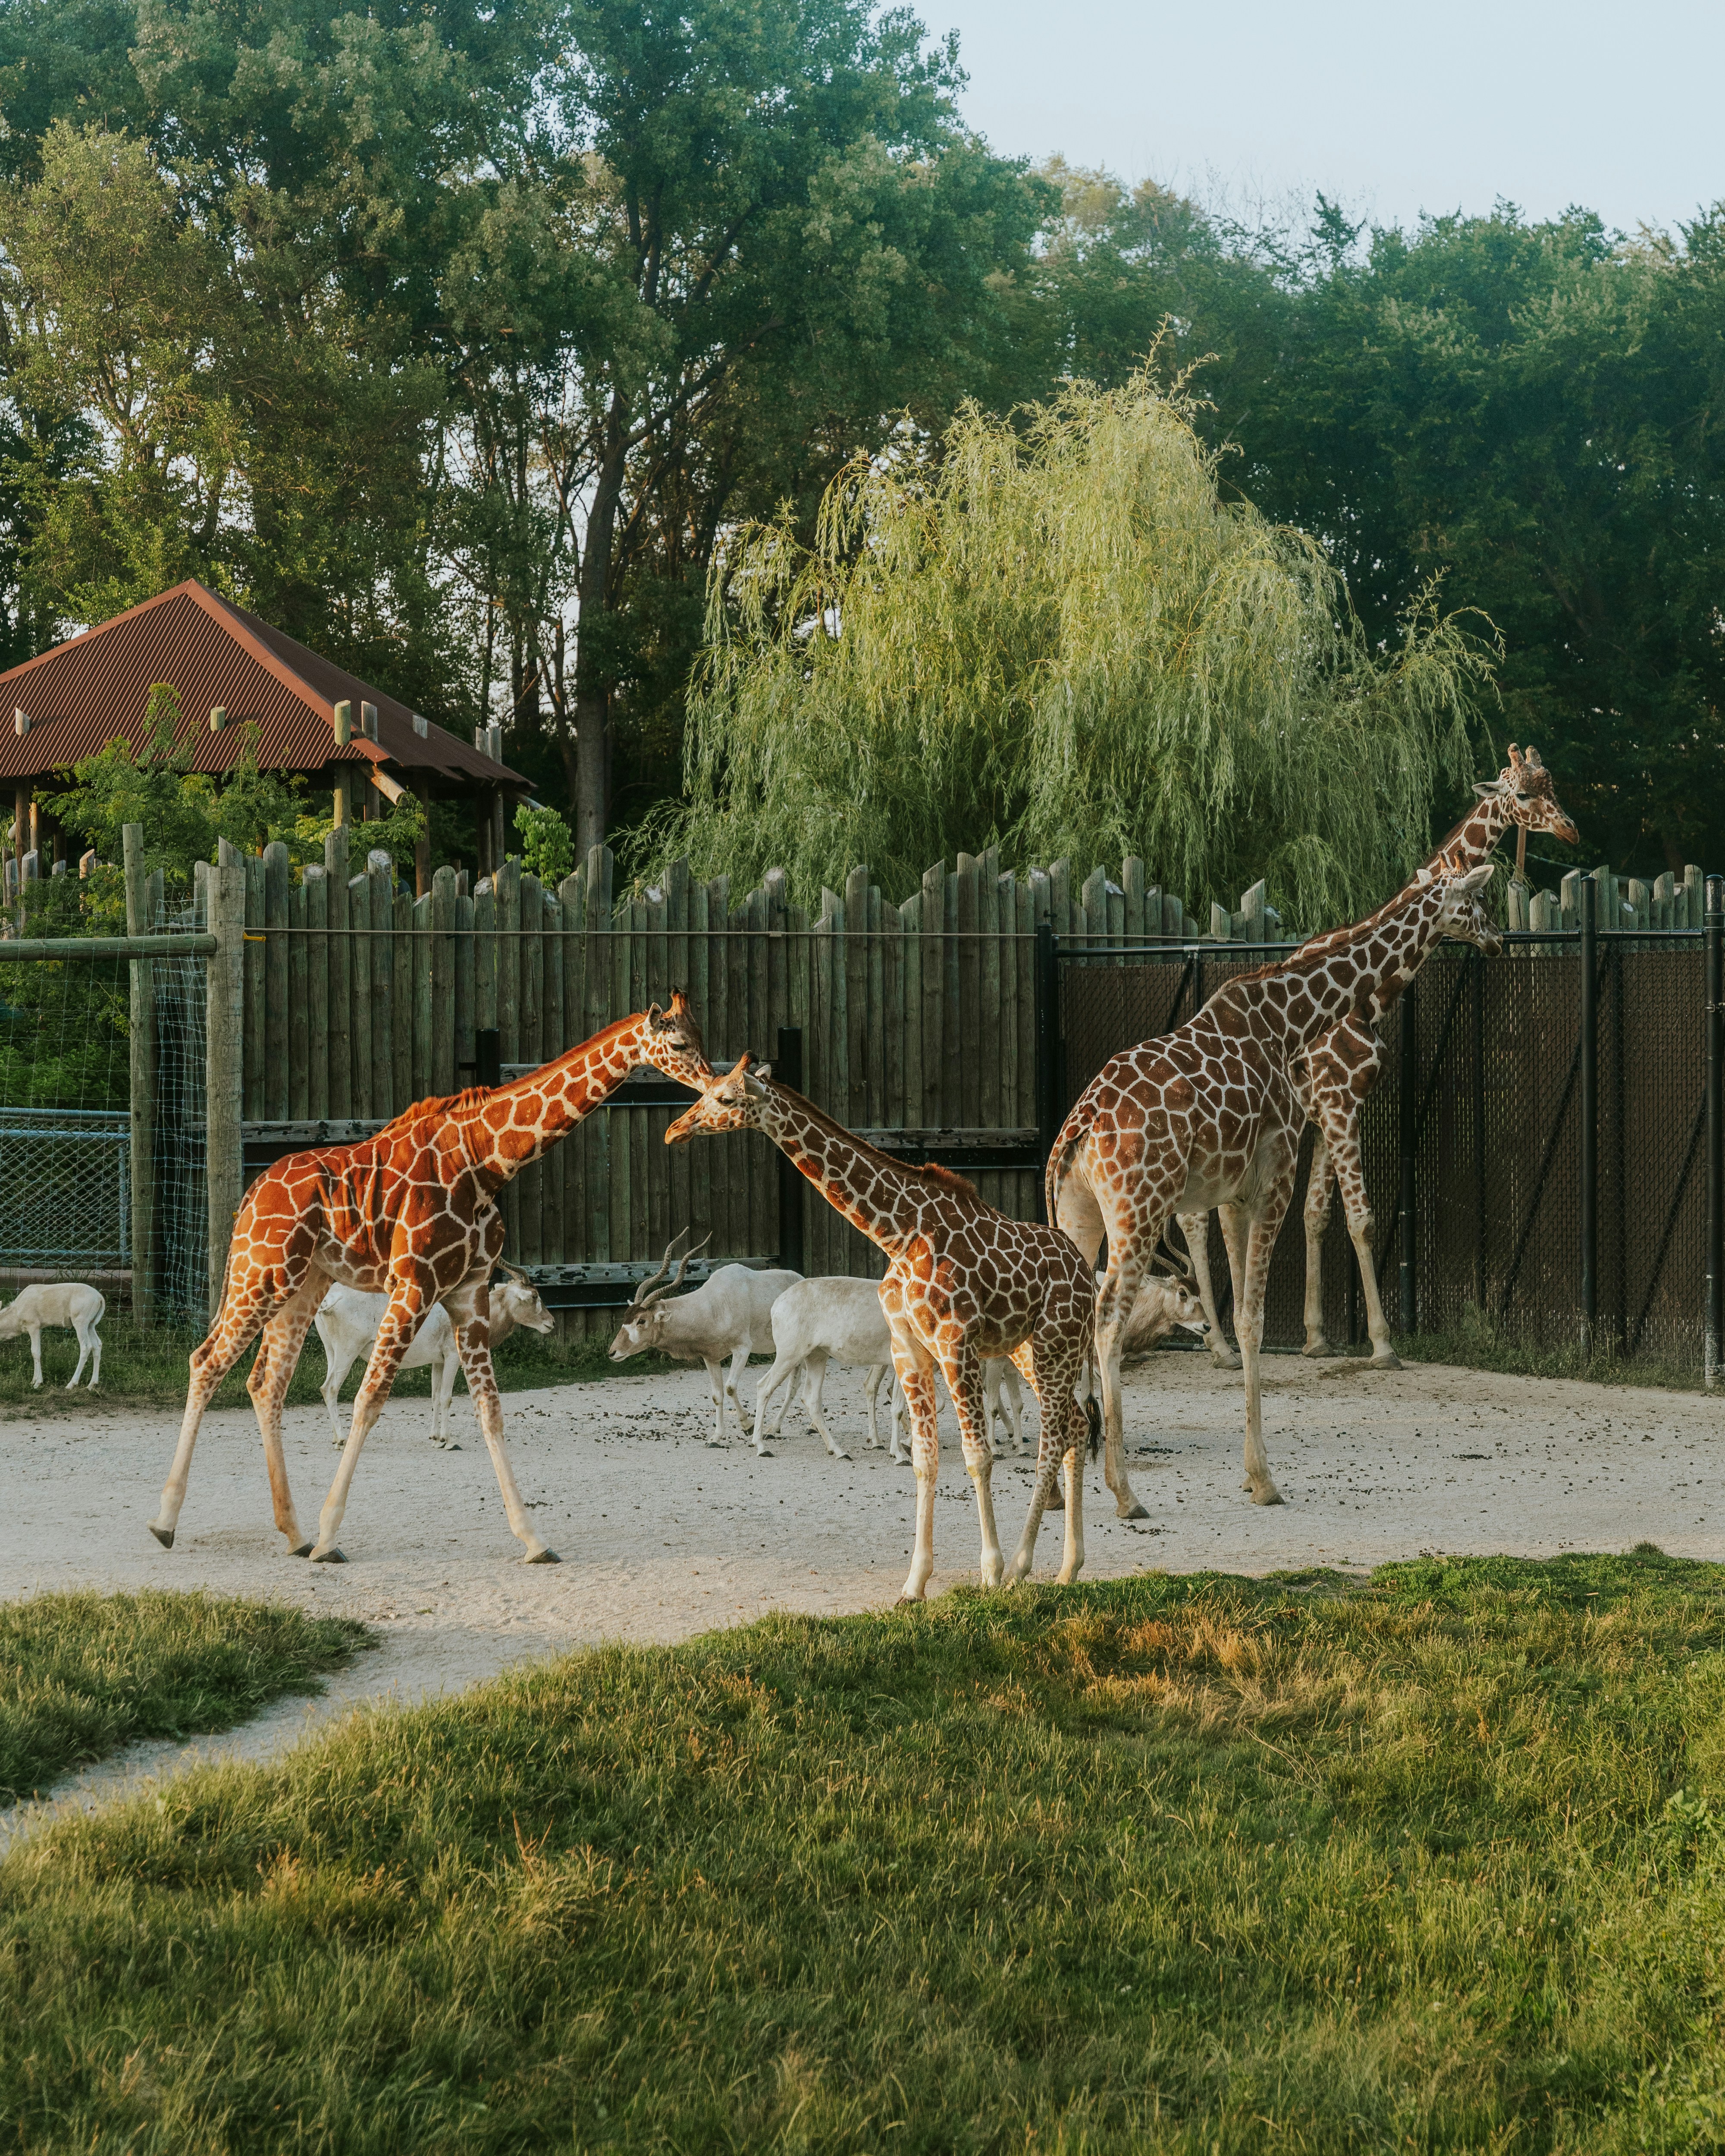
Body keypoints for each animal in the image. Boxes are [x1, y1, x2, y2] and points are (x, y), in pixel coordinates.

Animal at [148, 996, 712, 1565]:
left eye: (701, 1037)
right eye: (679, 1043)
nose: (713, 1084)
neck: (485, 1161)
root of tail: (251, 1191)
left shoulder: (469, 1292)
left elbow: (489, 1409)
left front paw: (534, 1539)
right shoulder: (414, 1284)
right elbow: (370, 1398)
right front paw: (330, 1537)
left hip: (301, 1285)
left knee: (266, 1385)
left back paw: (292, 1532)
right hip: (262, 1273)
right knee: (207, 1361)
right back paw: (166, 1522)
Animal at [664, 1058, 1099, 1596]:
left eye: (724, 1098)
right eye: (705, 1090)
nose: (675, 1129)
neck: (899, 1233)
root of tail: (1085, 1273)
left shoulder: (955, 1342)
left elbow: (978, 1455)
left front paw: (991, 1571)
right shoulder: (909, 1347)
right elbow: (924, 1458)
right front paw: (914, 1584)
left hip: (1055, 1341)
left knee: (1053, 1437)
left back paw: (1021, 1565)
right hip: (1032, 1349)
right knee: (1076, 1425)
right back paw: (1068, 1567)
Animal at [1048, 863, 1503, 1516]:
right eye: (1476, 899)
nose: (1497, 939)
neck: (1289, 1022)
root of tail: (1079, 1129)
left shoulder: (1236, 1194)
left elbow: (1242, 1310)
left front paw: (1249, 1473)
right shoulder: (1274, 1178)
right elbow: (1253, 1320)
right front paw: (1263, 1478)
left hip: (1079, 1216)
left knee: (1071, 1314)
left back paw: (1061, 1489)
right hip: (1140, 1209)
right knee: (1107, 1320)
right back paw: (1124, 1491)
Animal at [1175, 744, 1578, 1370]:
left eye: (1551, 784)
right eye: (1524, 793)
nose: (1569, 829)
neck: (1372, 997)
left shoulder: (1328, 1112)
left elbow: (1317, 1215)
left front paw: (1317, 1337)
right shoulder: (1340, 1102)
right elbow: (1361, 1218)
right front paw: (1383, 1342)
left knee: (1207, 1210)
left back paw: (1223, 1341)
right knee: (1198, 1213)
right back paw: (1219, 1345)